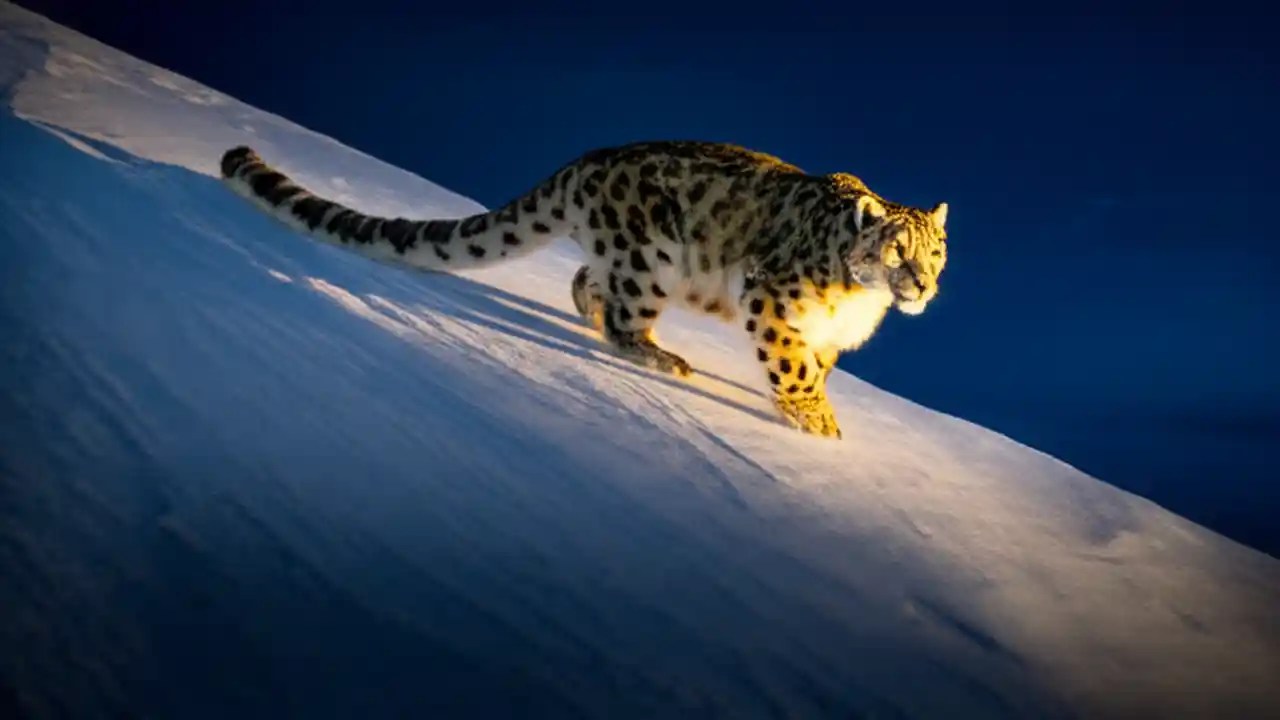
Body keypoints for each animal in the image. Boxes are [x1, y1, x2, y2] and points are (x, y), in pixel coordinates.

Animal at [220, 141, 948, 439]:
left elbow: (813, 365)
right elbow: (793, 368)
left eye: (936, 254)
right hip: (652, 257)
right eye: (897, 250)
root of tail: (589, 163)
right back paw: (661, 356)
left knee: (585, 277)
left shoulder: (828, 338)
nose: (921, 285)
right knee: (625, 313)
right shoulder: (772, 300)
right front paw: (820, 427)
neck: (862, 304)